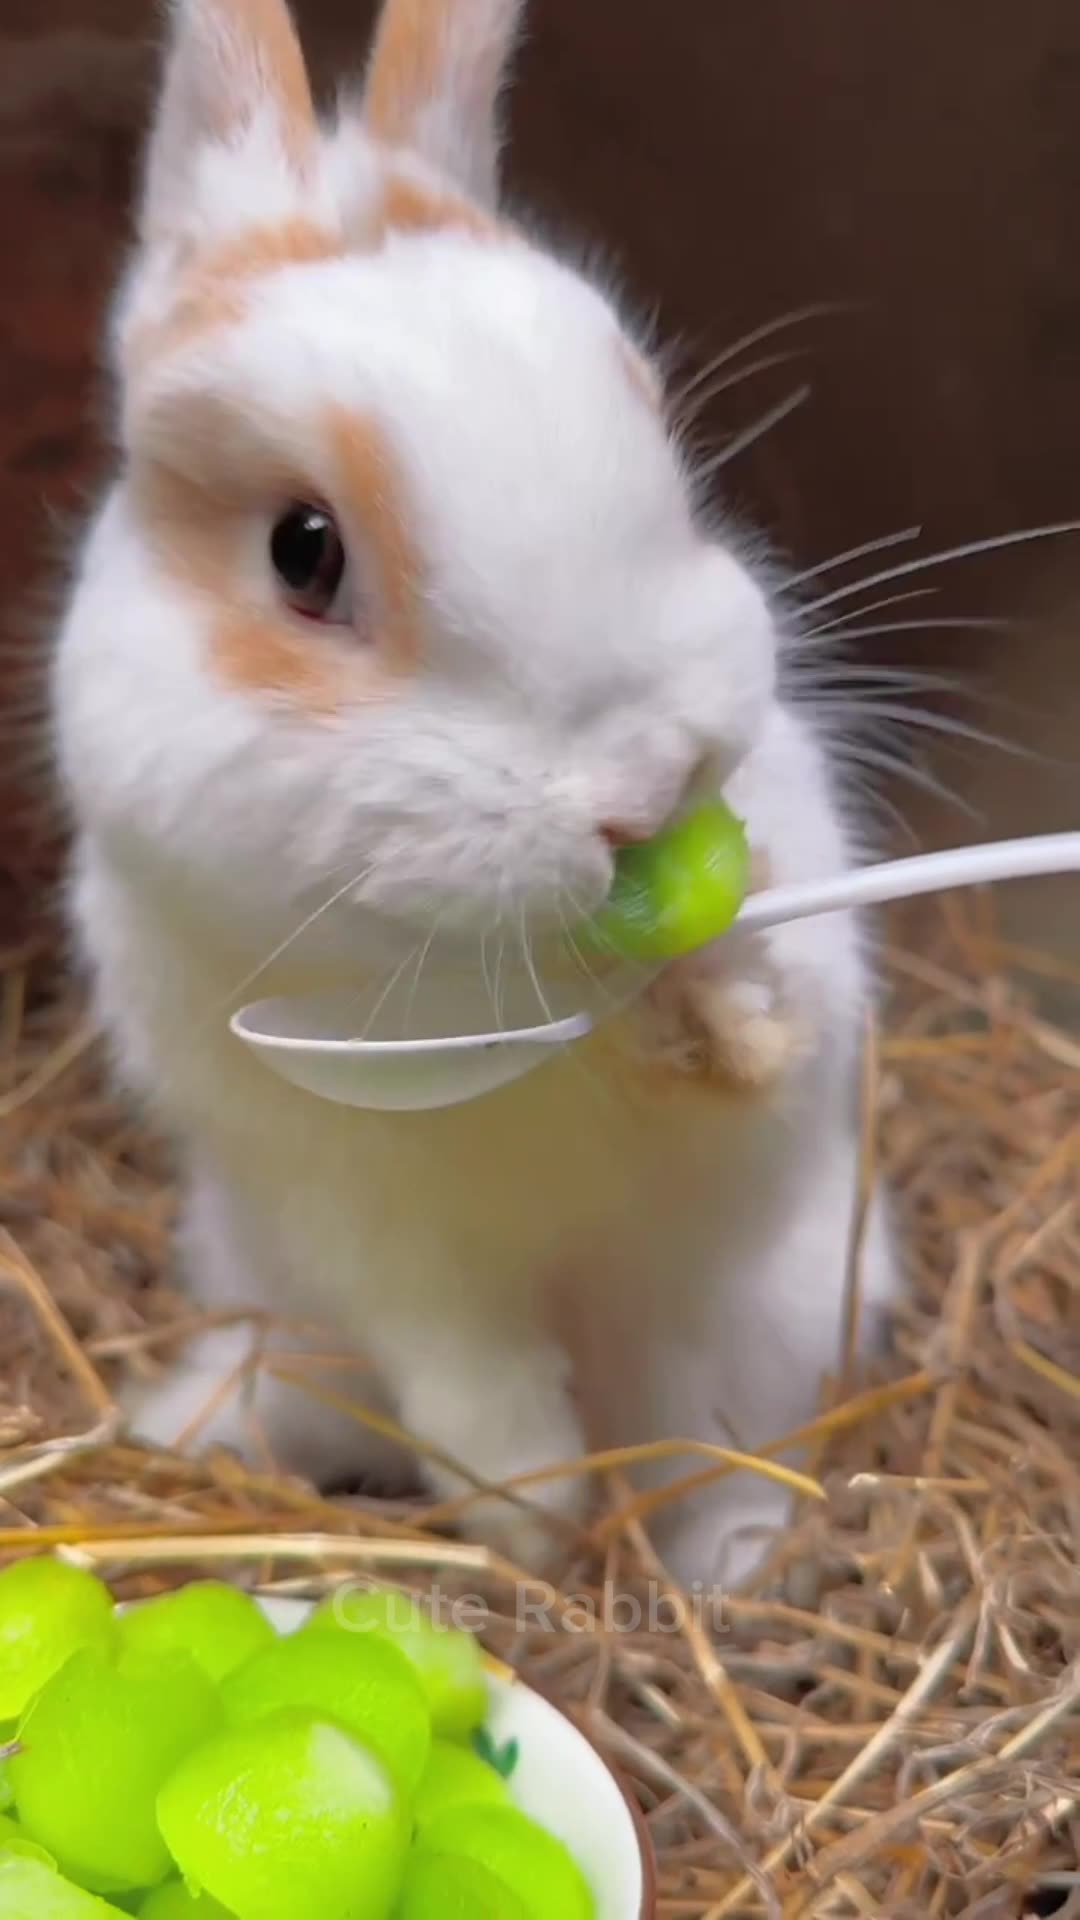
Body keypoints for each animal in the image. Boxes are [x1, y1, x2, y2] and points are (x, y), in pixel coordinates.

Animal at [52, 0, 898, 1591]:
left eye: (658, 433)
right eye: (303, 549)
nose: (648, 783)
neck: (464, 980)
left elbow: (760, 1068)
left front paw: (724, 1004)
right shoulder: (352, 1216)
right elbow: (466, 1366)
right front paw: (527, 1509)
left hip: (780, 1318)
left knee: (723, 1446)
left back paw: (734, 1561)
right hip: (284, 1300)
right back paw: (201, 1430)